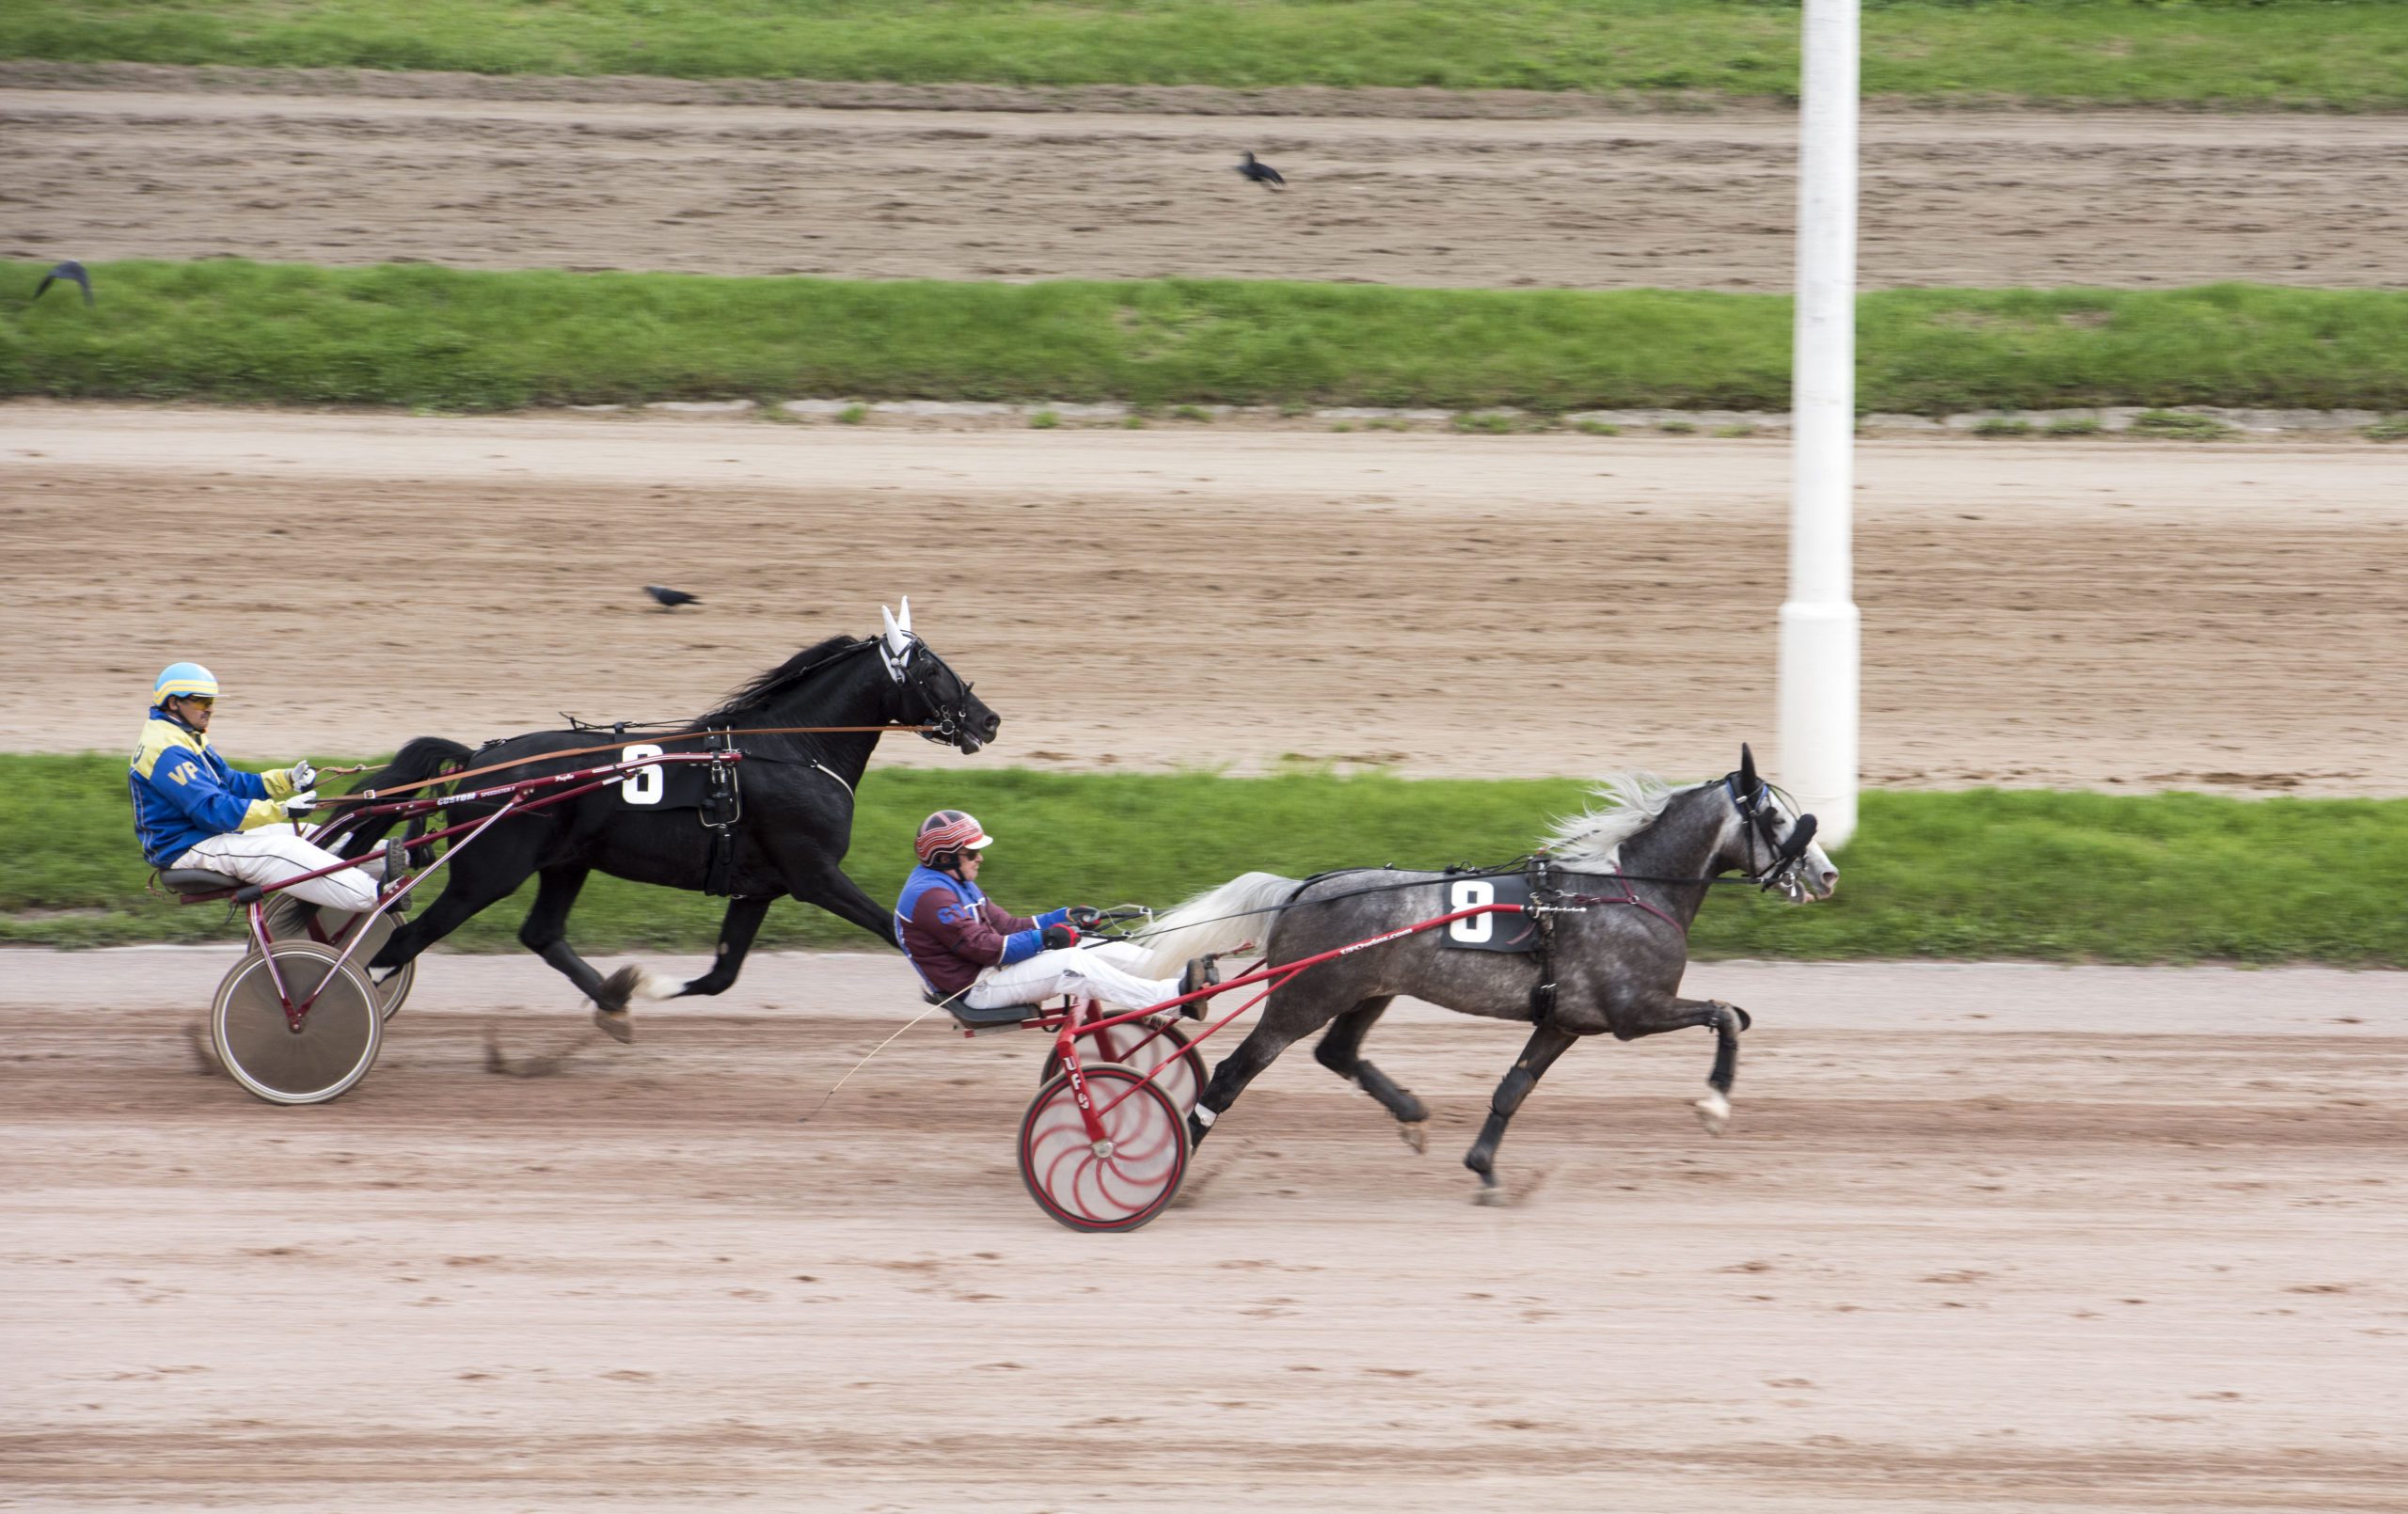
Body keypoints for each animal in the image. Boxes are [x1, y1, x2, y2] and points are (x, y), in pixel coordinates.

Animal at [333, 601, 999, 1039]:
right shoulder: (815, 875)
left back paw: (613, 1001)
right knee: (407, 941)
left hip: (565, 863)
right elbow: (893, 930)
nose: (988, 720)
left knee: (542, 934)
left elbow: (722, 974)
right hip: (487, 873)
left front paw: (645, 988)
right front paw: (962, 993)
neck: (791, 748)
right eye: (932, 669)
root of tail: (478, 761)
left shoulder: (759, 887)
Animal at [1131, 746, 1839, 1194]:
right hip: (1301, 998)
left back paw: (1411, 1115)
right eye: (1775, 816)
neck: (1629, 891)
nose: (1828, 874)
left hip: (1367, 992)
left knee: (1337, 1053)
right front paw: (1715, 1104)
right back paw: (1173, 1171)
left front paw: (1483, 1166)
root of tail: (1303, 890)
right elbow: (1725, 1016)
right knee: (1232, 1074)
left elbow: (1512, 1089)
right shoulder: (1634, 1011)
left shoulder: (1564, 1022)